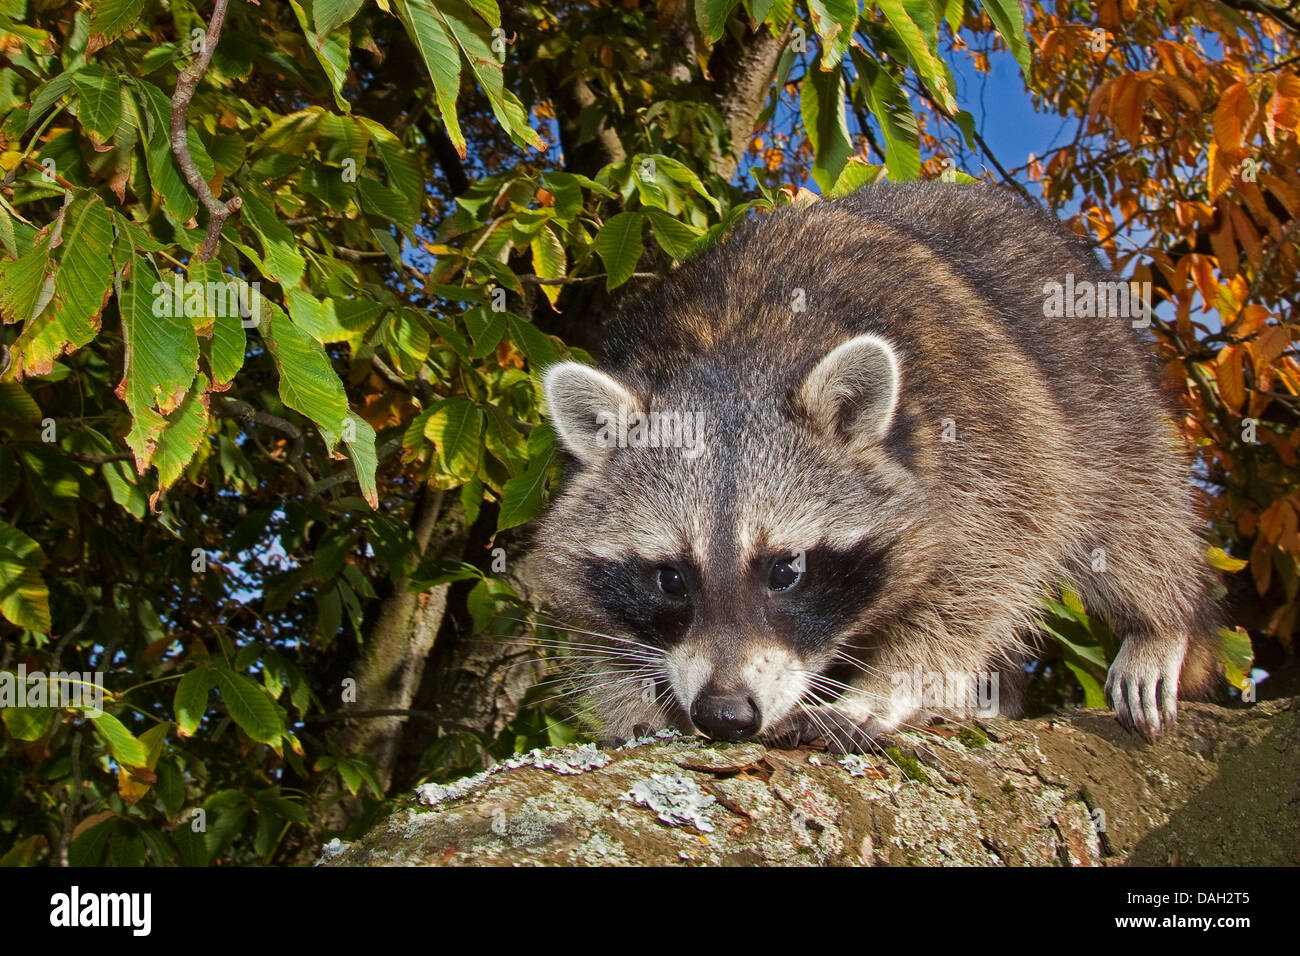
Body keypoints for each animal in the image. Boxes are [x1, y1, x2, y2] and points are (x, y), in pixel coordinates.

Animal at [532, 181, 1221, 752]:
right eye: (671, 578)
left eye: (787, 570)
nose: (725, 714)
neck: (734, 350)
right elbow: (589, 612)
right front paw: (628, 696)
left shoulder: (986, 429)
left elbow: (995, 558)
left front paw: (893, 681)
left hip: (1101, 382)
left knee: (1133, 509)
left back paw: (1161, 621)